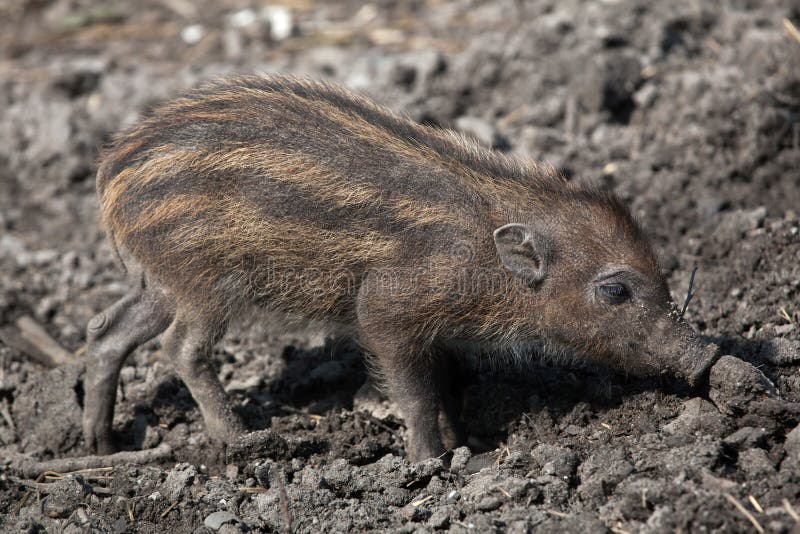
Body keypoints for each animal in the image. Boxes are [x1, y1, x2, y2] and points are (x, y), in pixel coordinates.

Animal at [83, 75, 719, 460]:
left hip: (160, 279)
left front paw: (468, 444)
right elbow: (415, 393)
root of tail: (110, 169)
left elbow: (450, 384)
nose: (708, 356)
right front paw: (432, 462)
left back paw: (100, 445)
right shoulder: (386, 308)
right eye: (615, 291)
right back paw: (245, 440)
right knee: (182, 347)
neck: (485, 255)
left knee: (106, 329)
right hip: (205, 281)